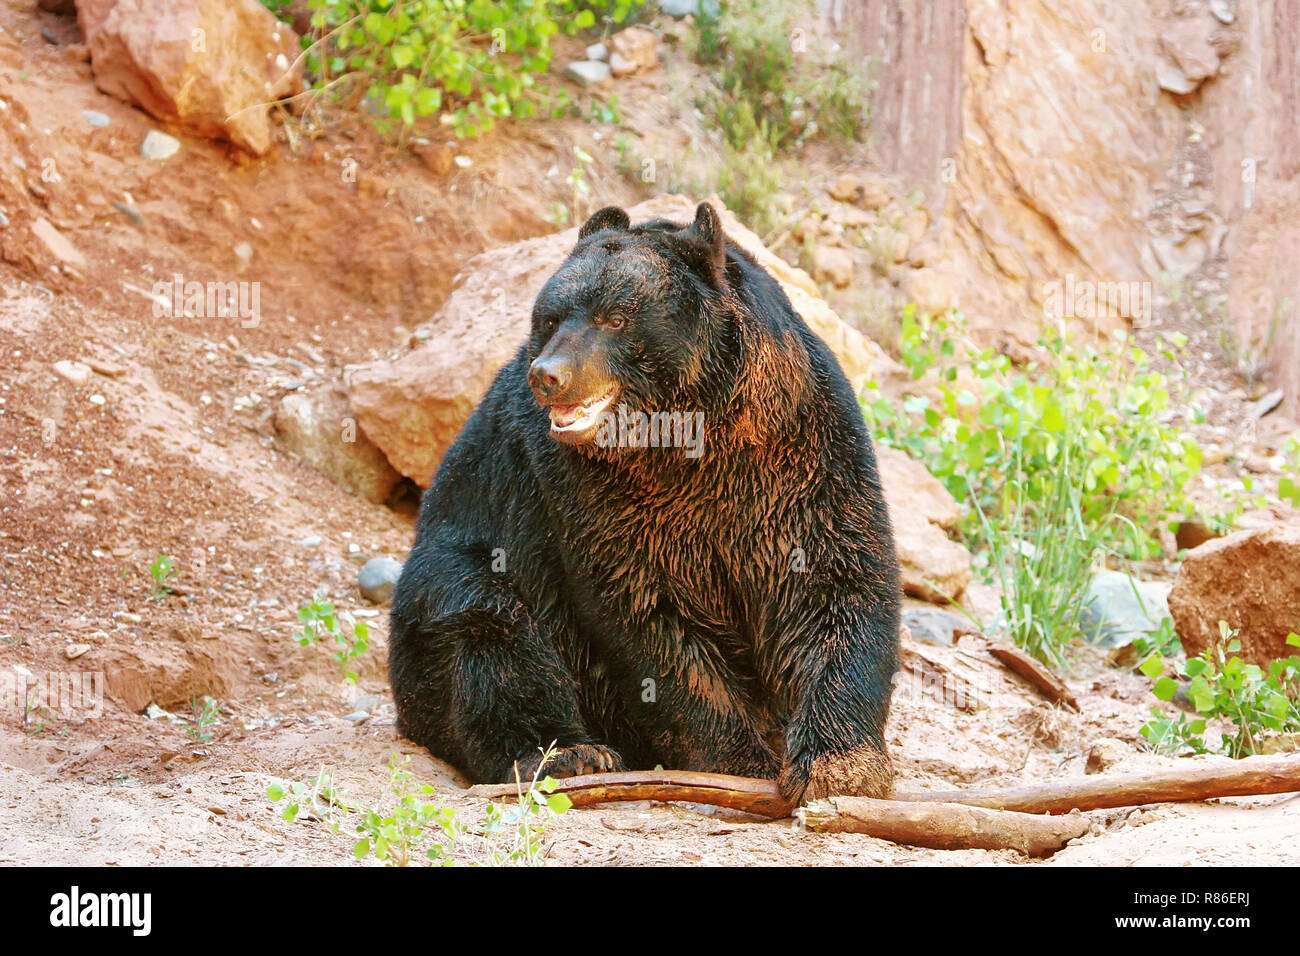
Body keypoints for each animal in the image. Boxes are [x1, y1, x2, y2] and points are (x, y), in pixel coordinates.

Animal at [388, 202, 901, 804]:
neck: (686, 443)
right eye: (551, 318)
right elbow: (643, 614)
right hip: (458, 567)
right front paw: (738, 757)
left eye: (614, 317)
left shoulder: (799, 456)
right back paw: (569, 754)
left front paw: (838, 762)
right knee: (487, 627)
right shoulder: (588, 491)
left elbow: (835, 581)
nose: (548, 375)